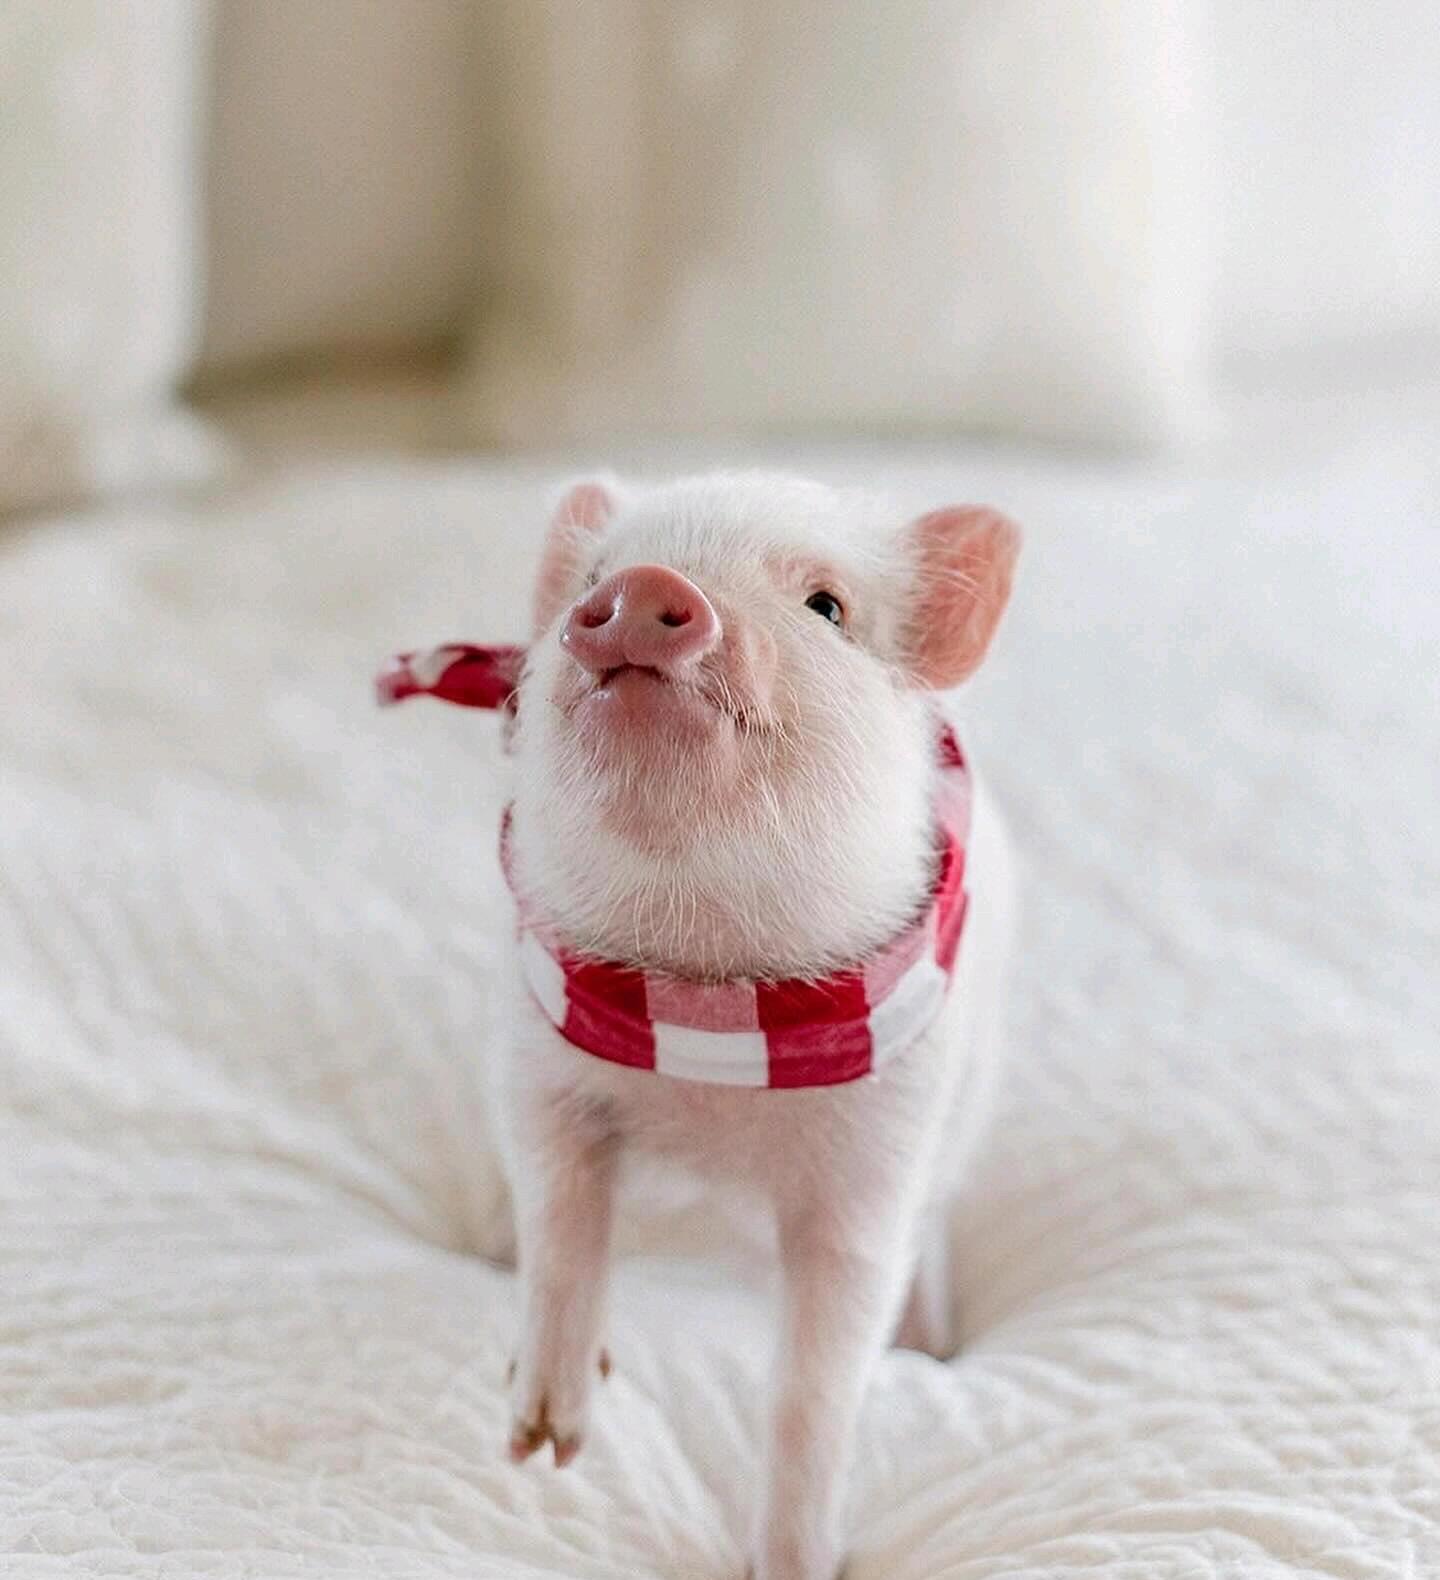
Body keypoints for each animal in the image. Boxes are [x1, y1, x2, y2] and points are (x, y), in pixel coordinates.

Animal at [489, 472, 1019, 1580]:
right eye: (600, 572)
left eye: (827, 605)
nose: (647, 585)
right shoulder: (530, 1055)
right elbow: (561, 1217)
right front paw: (544, 1445)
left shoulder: (877, 1155)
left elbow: (818, 1378)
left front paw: (794, 1563)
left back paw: (934, 1339)